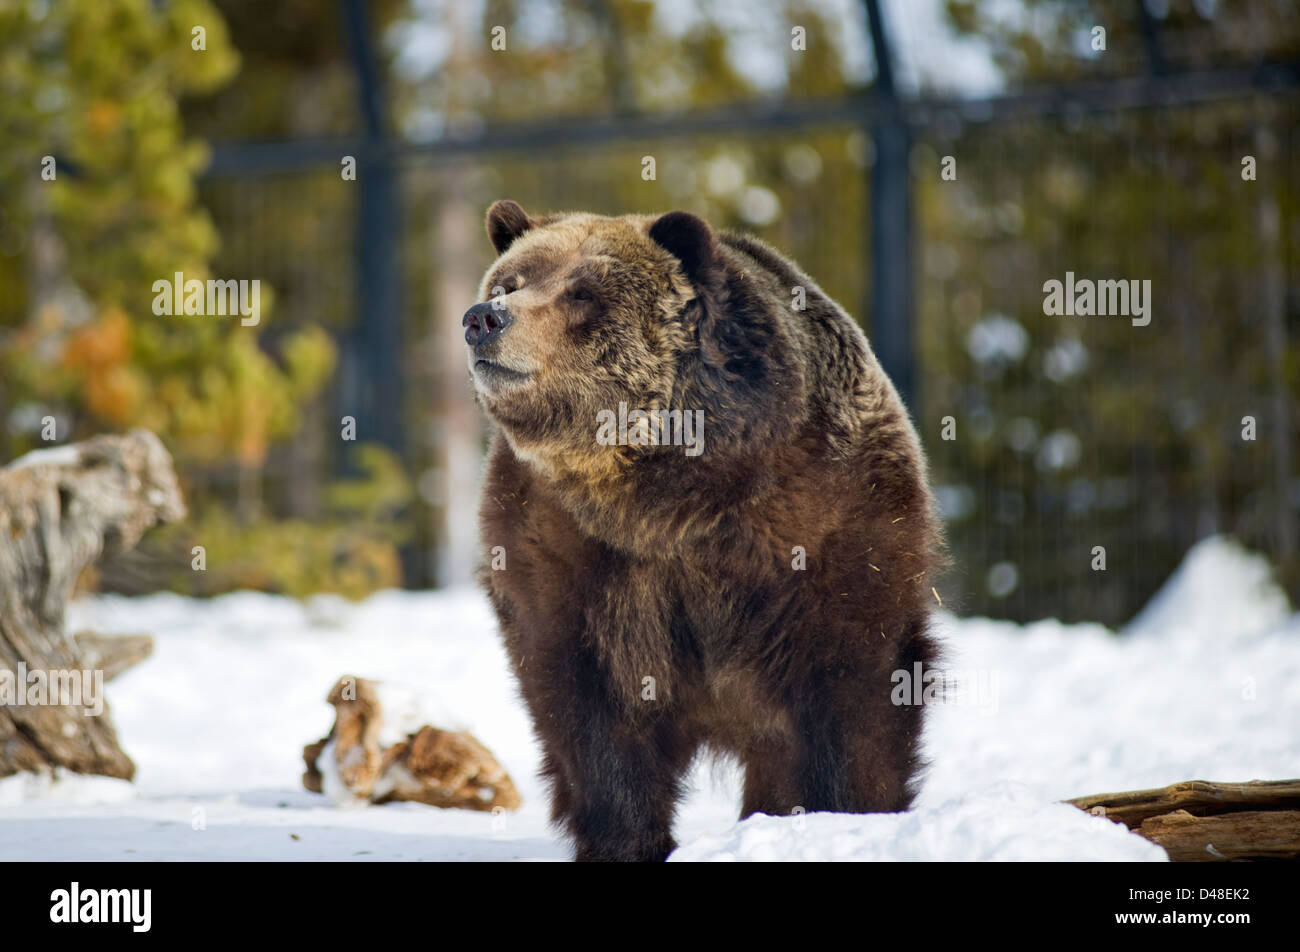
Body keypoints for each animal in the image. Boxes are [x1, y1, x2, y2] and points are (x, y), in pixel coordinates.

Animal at [466, 200, 944, 861]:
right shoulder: (559, 547)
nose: (484, 319)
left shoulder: (822, 520)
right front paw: (625, 838)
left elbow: (854, 685)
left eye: (582, 293)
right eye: (507, 283)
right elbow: (587, 706)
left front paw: (840, 813)